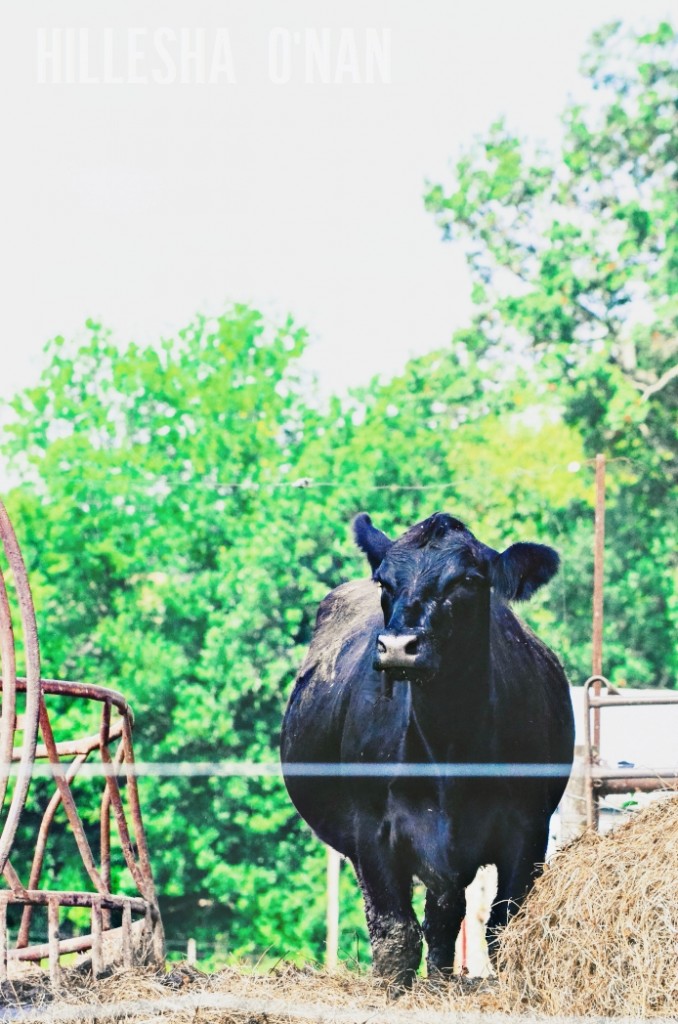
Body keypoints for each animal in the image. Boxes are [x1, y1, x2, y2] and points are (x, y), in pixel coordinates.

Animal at [281, 511, 574, 984]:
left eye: (468, 579)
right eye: (384, 581)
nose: (398, 647)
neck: (449, 745)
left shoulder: (528, 828)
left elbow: (502, 924)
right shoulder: (372, 830)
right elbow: (396, 932)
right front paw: (396, 987)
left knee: (445, 914)